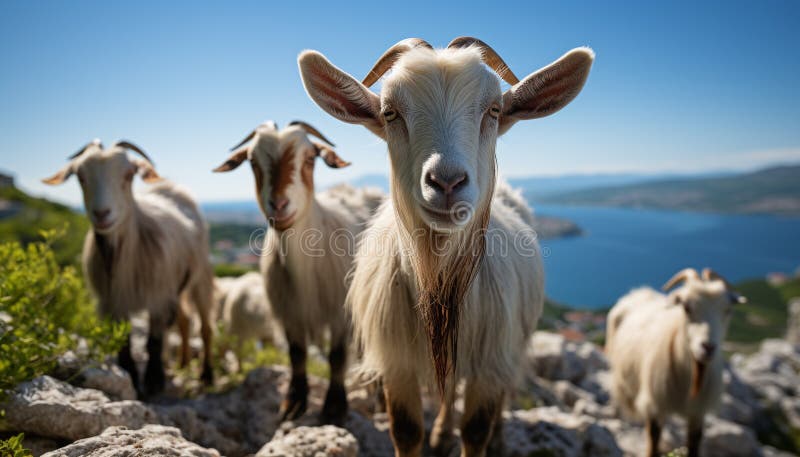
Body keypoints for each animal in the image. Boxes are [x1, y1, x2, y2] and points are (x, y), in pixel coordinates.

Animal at [43, 140, 214, 396]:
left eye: (129, 174)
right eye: (80, 176)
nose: (102, 214)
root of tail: (170, 186)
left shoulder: (158, 297)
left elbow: (154, 341)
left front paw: (154, 382)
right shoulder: (112, 302)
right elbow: (123, 343)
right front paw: (132, 377)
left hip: (200, 274)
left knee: (204, 326)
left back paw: (206, 375)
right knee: (184, 320)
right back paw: (182, 364)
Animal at [213, 121, 381, 424]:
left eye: (310, 158)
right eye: (252, 161)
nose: (279, 205)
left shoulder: (339, 312)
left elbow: (337, 357)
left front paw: (334, 408)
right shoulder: (289, 312)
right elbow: (297, 354)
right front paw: (293, 402)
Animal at [299, 37, 594, 456]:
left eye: (494, 110)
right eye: (390, 112)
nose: (447, 182)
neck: (437, 281)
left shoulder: (489, 361)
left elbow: (475, 431)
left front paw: (482, 436)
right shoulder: (397, 364)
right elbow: (407, 432)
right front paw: (431, 434)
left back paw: (498, 438)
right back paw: (440, 434)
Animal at [606, 268, 747, 457]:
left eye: (728, 310)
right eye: (686, 307)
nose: (708, 347)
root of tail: (639, 291)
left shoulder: (698, 411)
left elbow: (694, 443)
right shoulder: (655, 403)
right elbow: (654, 439)